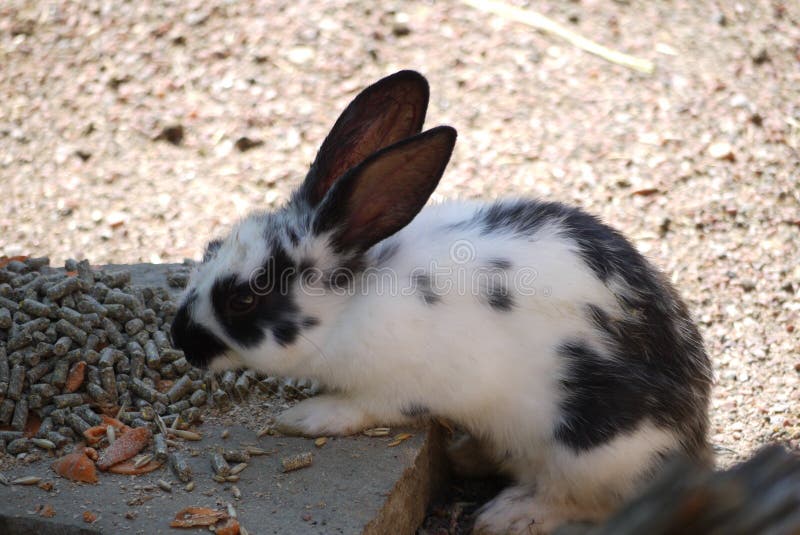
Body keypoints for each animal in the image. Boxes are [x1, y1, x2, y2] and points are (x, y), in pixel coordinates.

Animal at [170, 70, 713, 534]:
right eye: (210, 248)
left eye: (244, 299)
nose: (181, 340)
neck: (351, 304)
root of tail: (691, 449)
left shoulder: (401, 388)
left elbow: (363, 407)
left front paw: (305, 418)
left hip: (591, 448)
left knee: (585, 500)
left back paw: (507, 515)